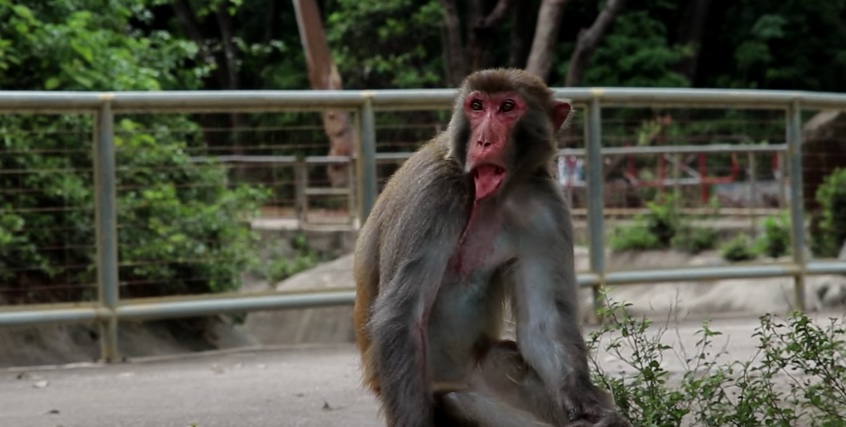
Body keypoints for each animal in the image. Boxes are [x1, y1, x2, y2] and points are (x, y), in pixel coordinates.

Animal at [353, 68, 630, 427]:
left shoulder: (545, 208)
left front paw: (587, 404)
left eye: (507, 107)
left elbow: (543, 323)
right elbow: (402, 314)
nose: (483, 141)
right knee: (457, 400)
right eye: (477, 106)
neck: (493, 193)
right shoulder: (434, 195)